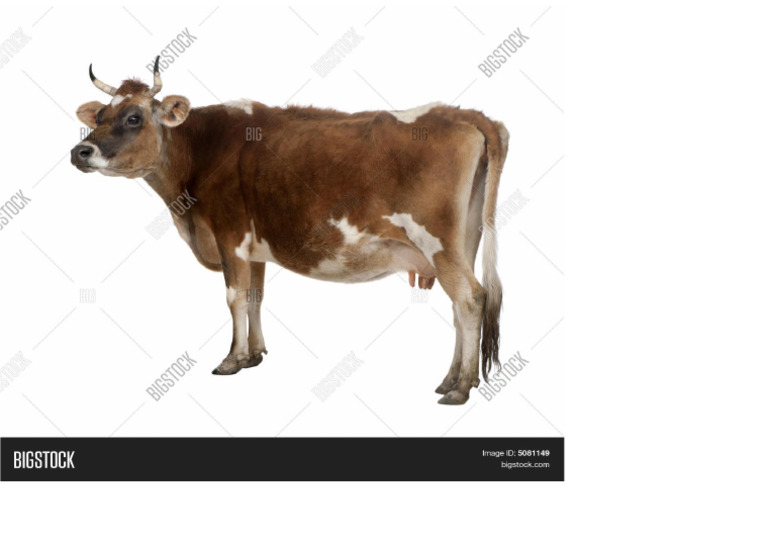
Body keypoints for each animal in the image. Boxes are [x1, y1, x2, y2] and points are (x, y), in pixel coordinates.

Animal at [70, 58, 509, 404]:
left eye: (133, 117)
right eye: (100, 117)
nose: (80, 151)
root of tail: (465, 114)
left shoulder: (230, 237)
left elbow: (234, 297)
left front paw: (232, 359)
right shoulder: (253, 248)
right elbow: (255, 297)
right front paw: (255, 354)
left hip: (438, 242)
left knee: (470, 298)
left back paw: (460, 388)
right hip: (466, 240)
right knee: (461, 306)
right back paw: (451, 378)